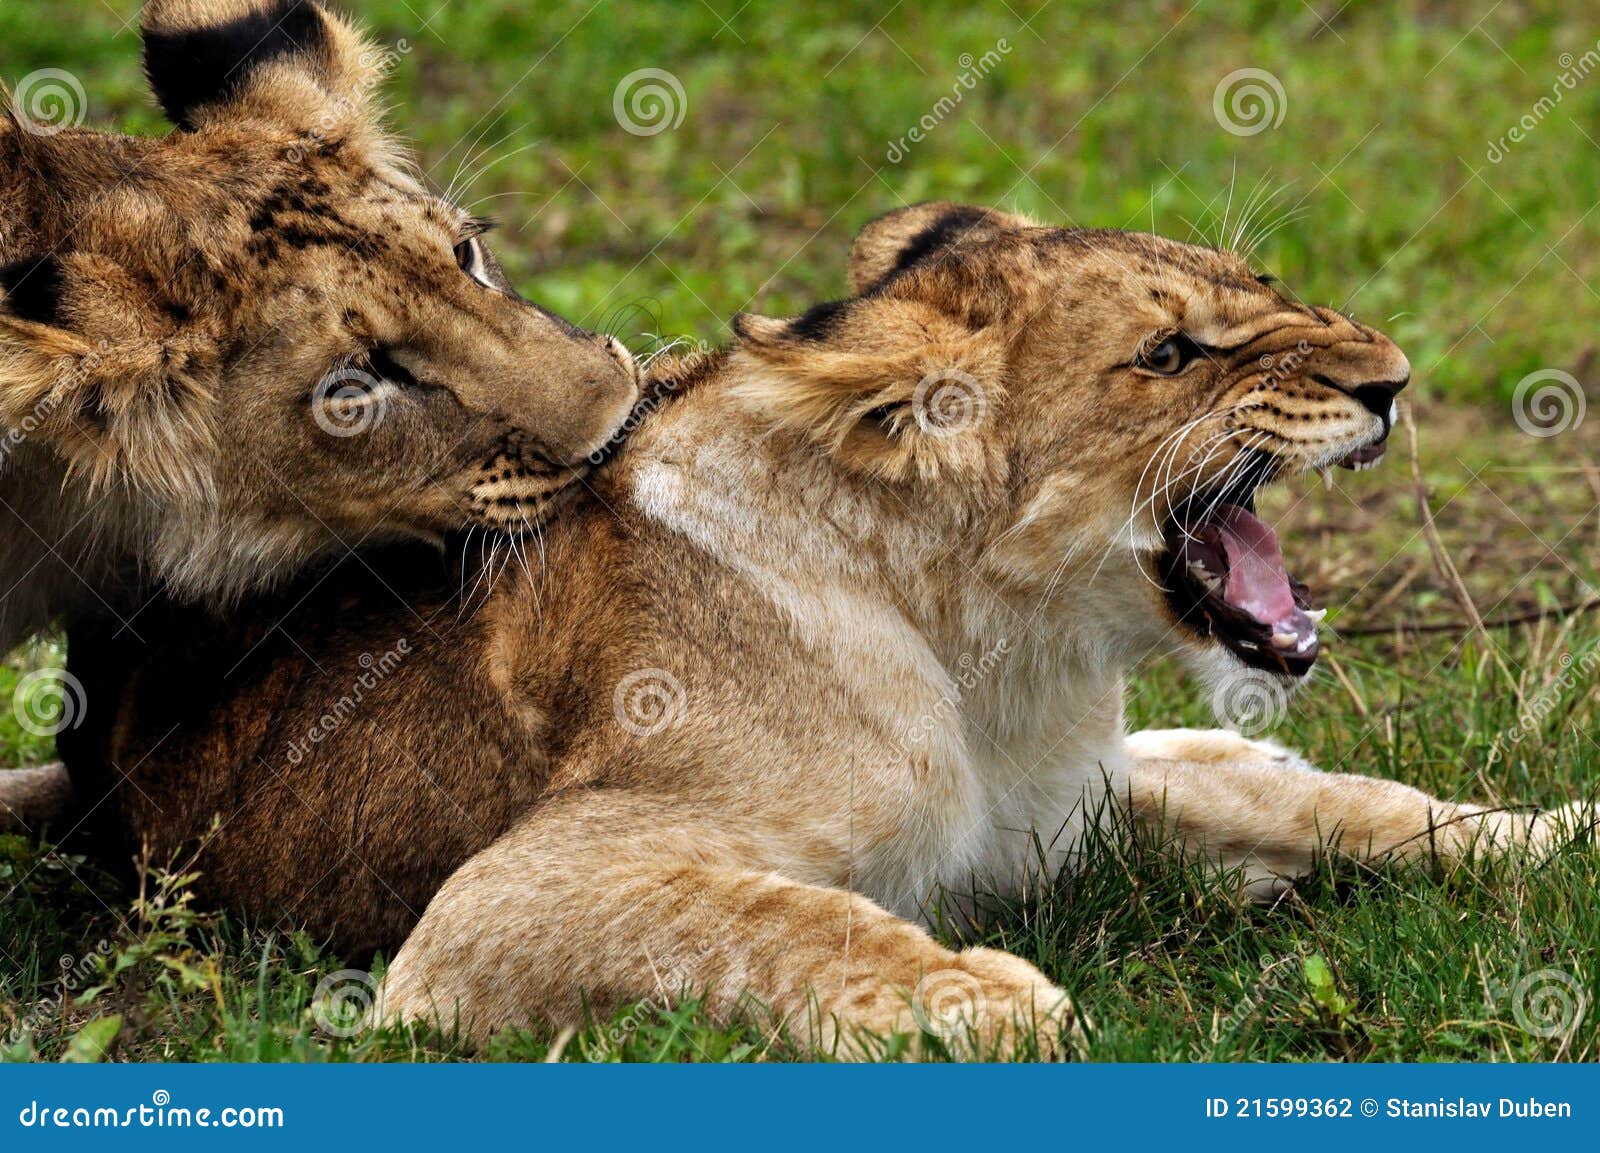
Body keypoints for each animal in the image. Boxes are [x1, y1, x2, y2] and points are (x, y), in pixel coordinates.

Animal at [40, 202, 1595, 1058]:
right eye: (1168, 355)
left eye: (1262, 292)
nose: (1393, 379)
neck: (997, 655)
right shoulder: (483, 914)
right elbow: (760, 919)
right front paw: (987, 1002)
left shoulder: (1070, 806)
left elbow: (1354, 807)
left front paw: (1554, 837)